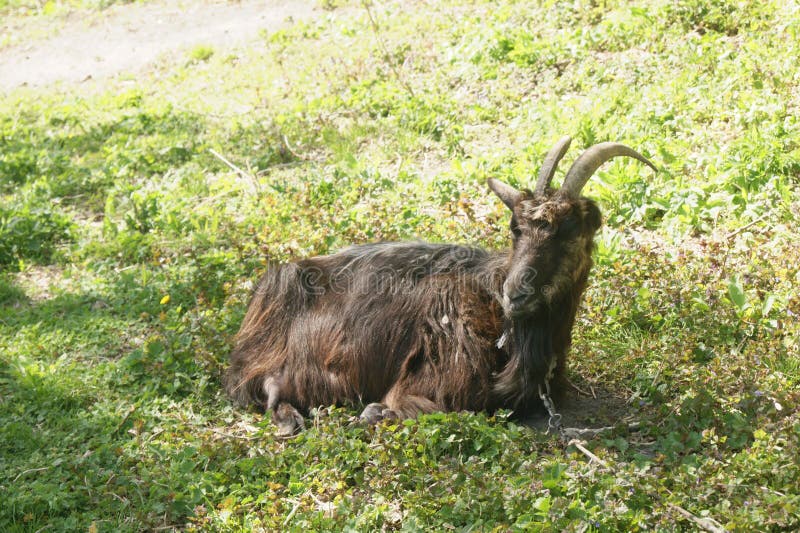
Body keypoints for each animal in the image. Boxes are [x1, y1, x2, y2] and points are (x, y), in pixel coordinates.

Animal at [225, 137, 656, 435]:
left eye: (571, 231)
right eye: (516, 229)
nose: (515, 294)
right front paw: (371, 413)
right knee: (269, 387)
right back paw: (290, 420)